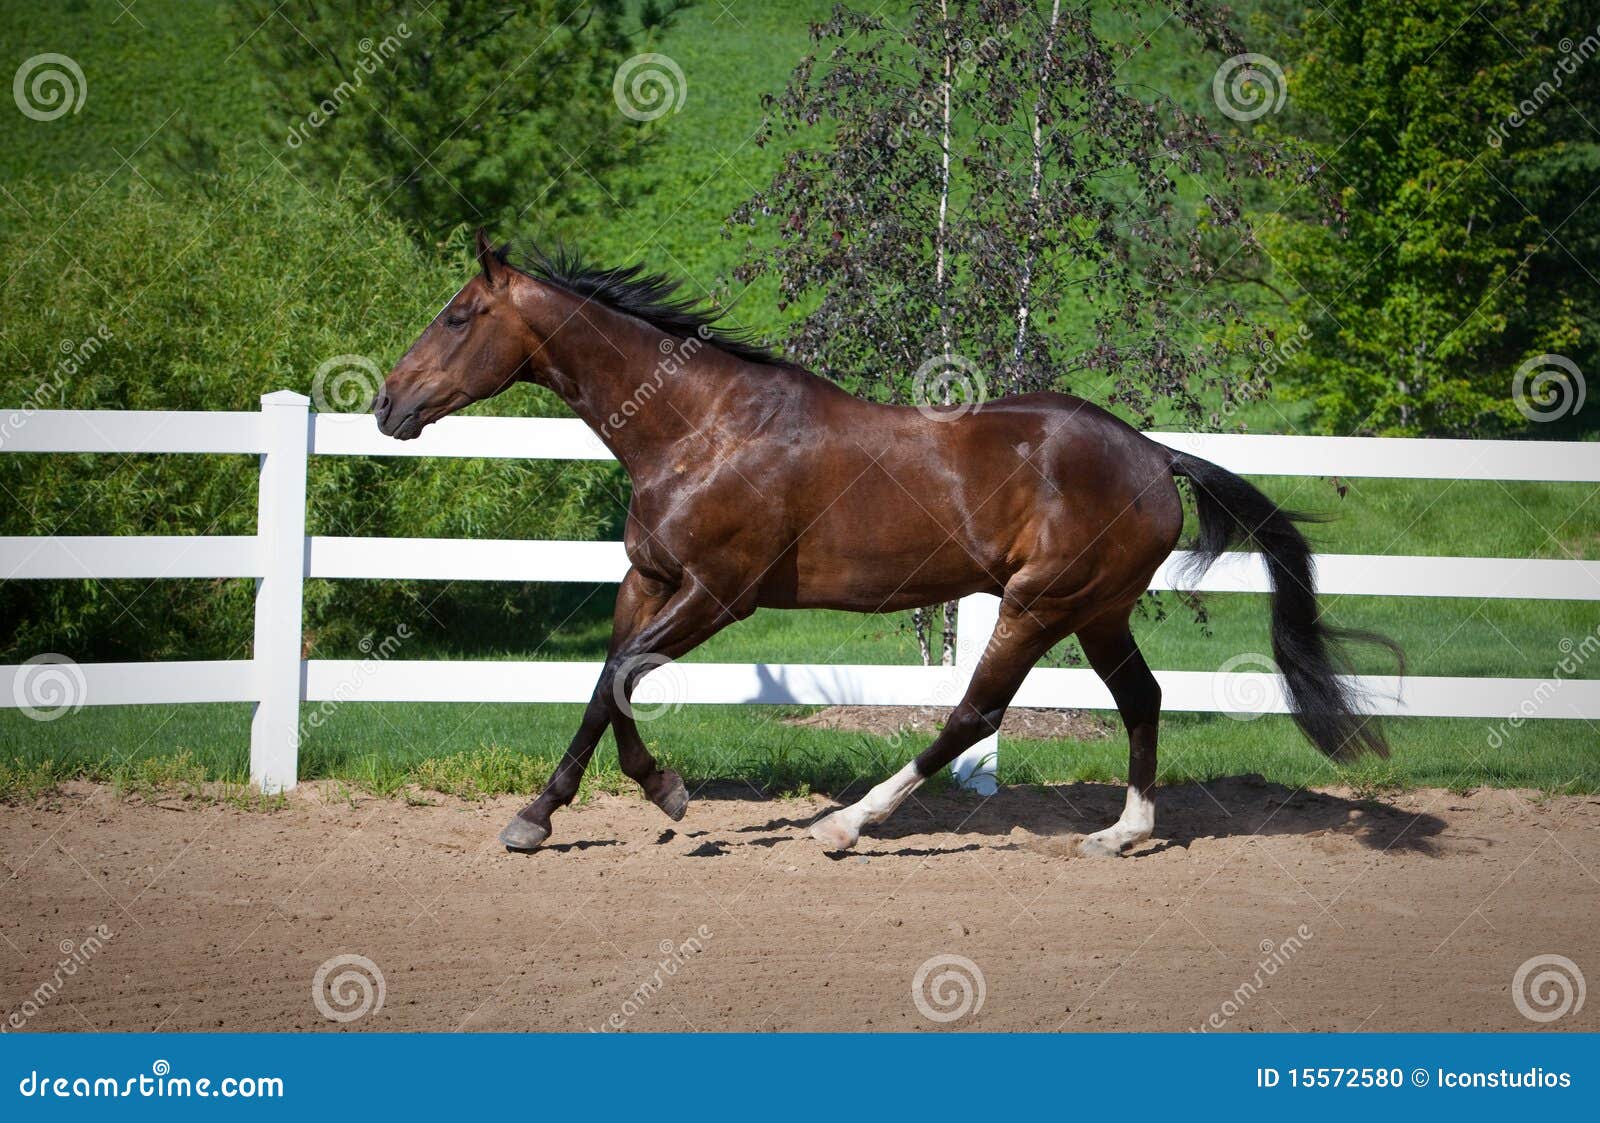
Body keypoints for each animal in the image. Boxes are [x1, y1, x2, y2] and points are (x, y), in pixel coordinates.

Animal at [374, 230, 1392, 858]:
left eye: (459, 315)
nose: (387, 404)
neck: (698, 425)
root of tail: (1155, 454)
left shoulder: (718, 592)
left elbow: (621, 674)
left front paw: (647, 796)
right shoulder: (648, 576)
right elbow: (604, 682)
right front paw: (556, 811)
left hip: (1040, 603)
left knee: (974, 714)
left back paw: (846, 824)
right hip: (1097, 609)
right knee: (1141, 697)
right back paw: (1121, 834)